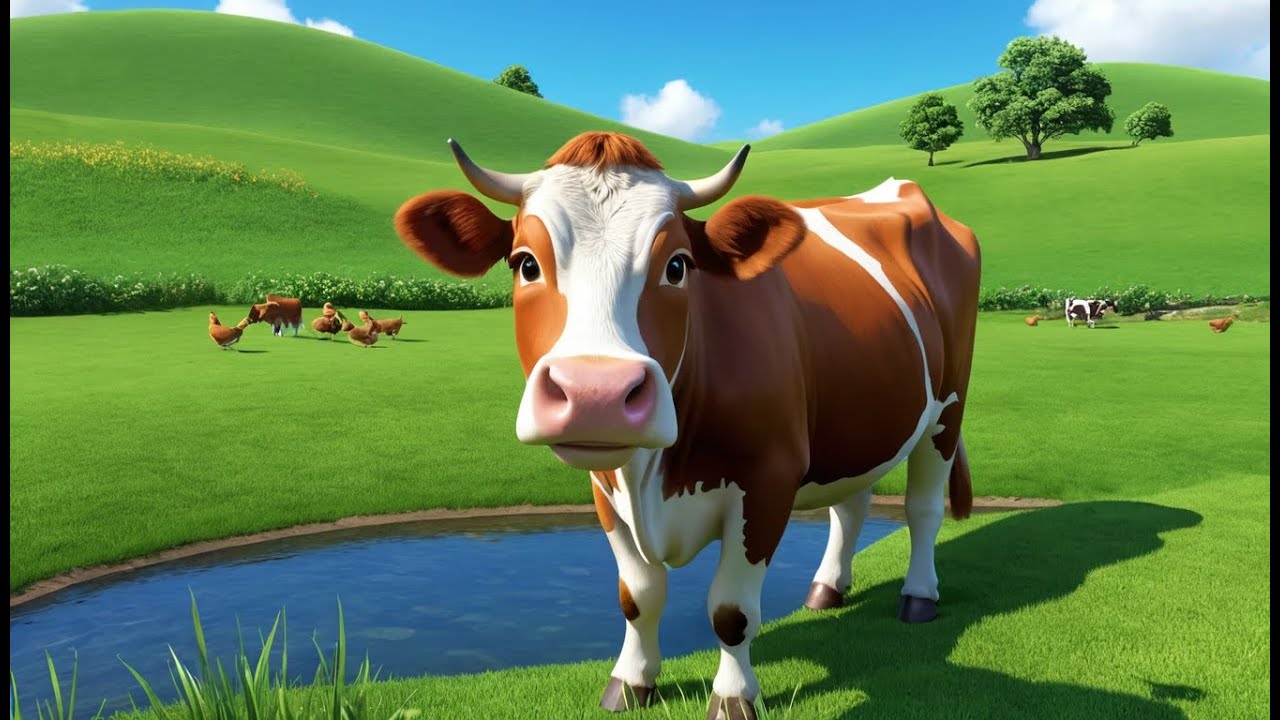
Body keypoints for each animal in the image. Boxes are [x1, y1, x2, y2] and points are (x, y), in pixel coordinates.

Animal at [392, 132, 980, 720]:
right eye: (525, 264)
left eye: (677, 266)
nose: (596, 393)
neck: (654, 475)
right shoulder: (605, 488)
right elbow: (638, 596)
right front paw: (631, 682)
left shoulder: (769, 479)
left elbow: (731, 611)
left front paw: (733, 695)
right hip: (856, 422)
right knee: (851, 502)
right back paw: (828, 589)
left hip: (947, 411)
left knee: (923, 509)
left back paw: (918, 598)